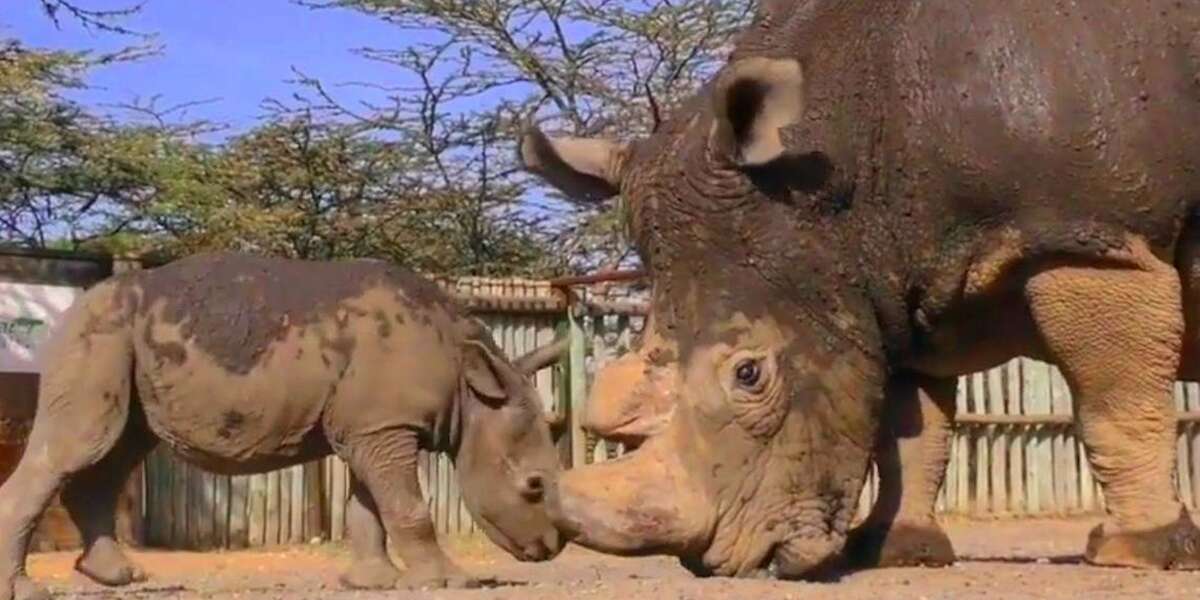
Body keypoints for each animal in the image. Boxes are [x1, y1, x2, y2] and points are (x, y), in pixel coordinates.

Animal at [0, 253, 568, 600]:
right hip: (98, 336)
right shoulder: (385, 427)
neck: (470, 393)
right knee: (78, 447)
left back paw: (118, 576)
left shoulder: (370, 426)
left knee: (118, 449)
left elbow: (367, 507)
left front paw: (372, 582)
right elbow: (407, 506)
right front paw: (449, 581)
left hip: (119, 342)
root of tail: (80, 302)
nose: (548, 551)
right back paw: (28, 590)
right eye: (533, 486)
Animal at [523, 0, 1200, 579]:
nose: (726, 564)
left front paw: (1140, 552)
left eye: (749, 374)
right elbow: (911, 427)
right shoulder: (893, 283)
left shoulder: (1090, 238)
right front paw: (896, 551)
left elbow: (1114, 397)